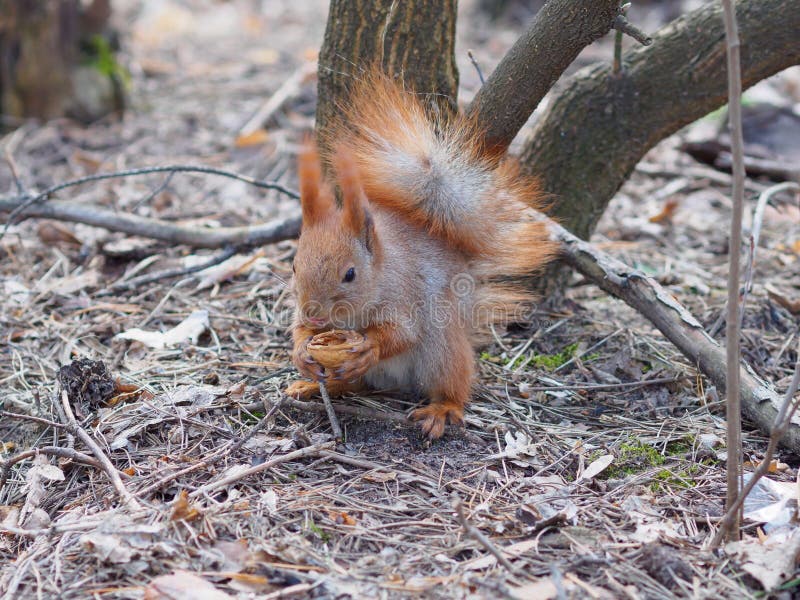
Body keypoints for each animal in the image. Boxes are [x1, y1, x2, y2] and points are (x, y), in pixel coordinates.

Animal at [285, 71, 558, 439]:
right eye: (294, 266)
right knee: (354, 387)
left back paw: (442, 410)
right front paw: (301, 349)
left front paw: (369, 345)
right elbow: (297, 332)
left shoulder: (404, 295)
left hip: (441, 349)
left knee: (452, 384)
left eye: (350, 274)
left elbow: (403, 334)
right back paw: (313, 387)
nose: (314, 316)